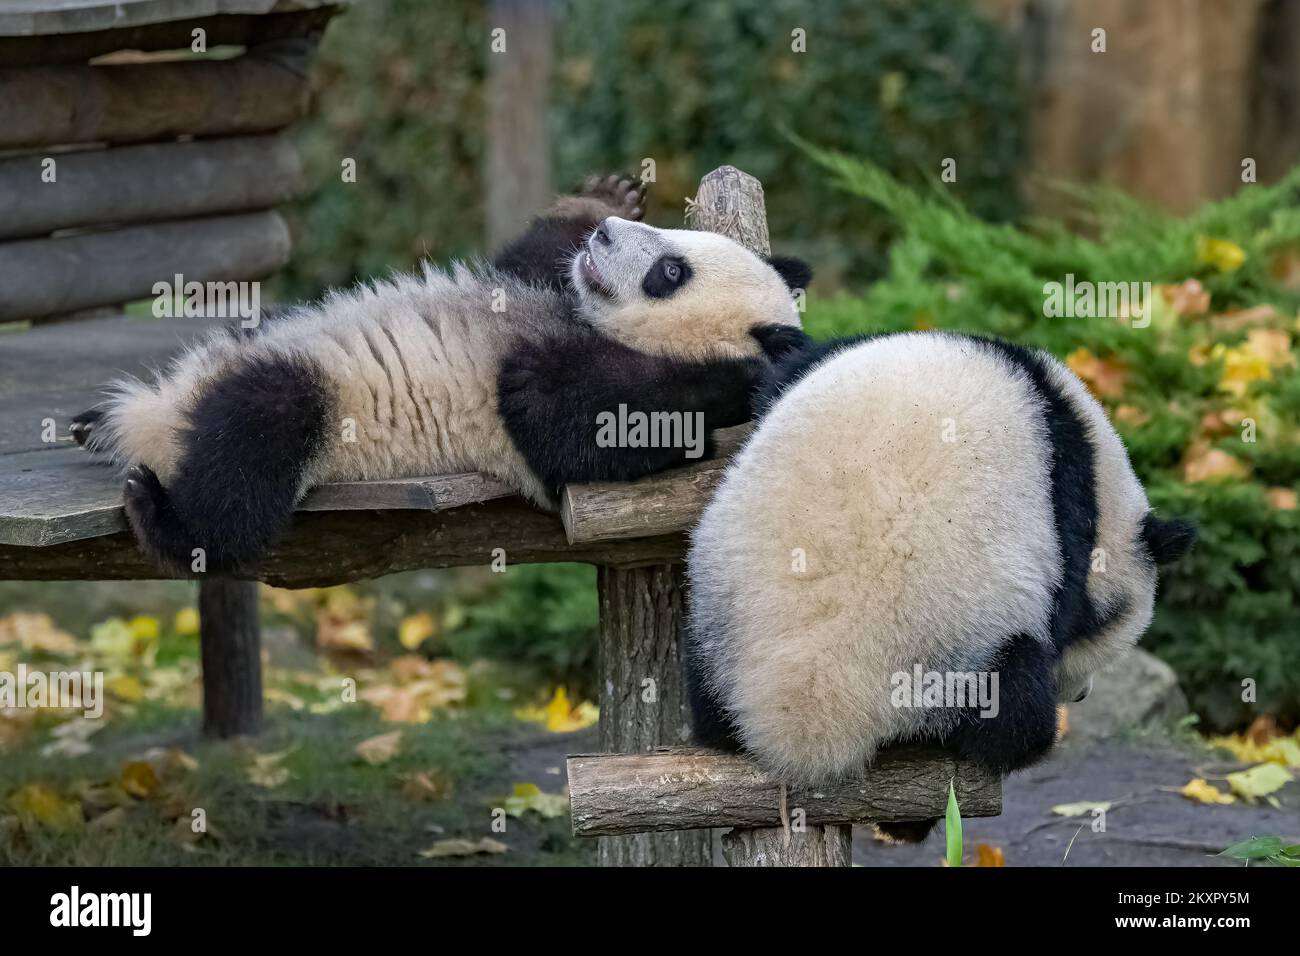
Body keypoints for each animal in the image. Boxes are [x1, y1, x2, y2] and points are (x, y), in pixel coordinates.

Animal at [71, 175, 813, 573]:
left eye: (670, 272)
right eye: (675, 244)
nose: (603, 234)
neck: (590, 324)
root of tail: (161, 419)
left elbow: (567, 418)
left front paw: (733, 377)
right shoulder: (538, 284)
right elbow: (524, 261)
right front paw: (599, 197)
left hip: (317, 406)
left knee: (254, 451)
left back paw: (160, 515)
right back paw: (90, 424)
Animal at [684, 330, 1195, 838]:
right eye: (1104, 629)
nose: (1083, 693)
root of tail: (801, 729)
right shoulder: (1065, 509)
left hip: (718, 614)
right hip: (958, 657)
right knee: (1014, 713)